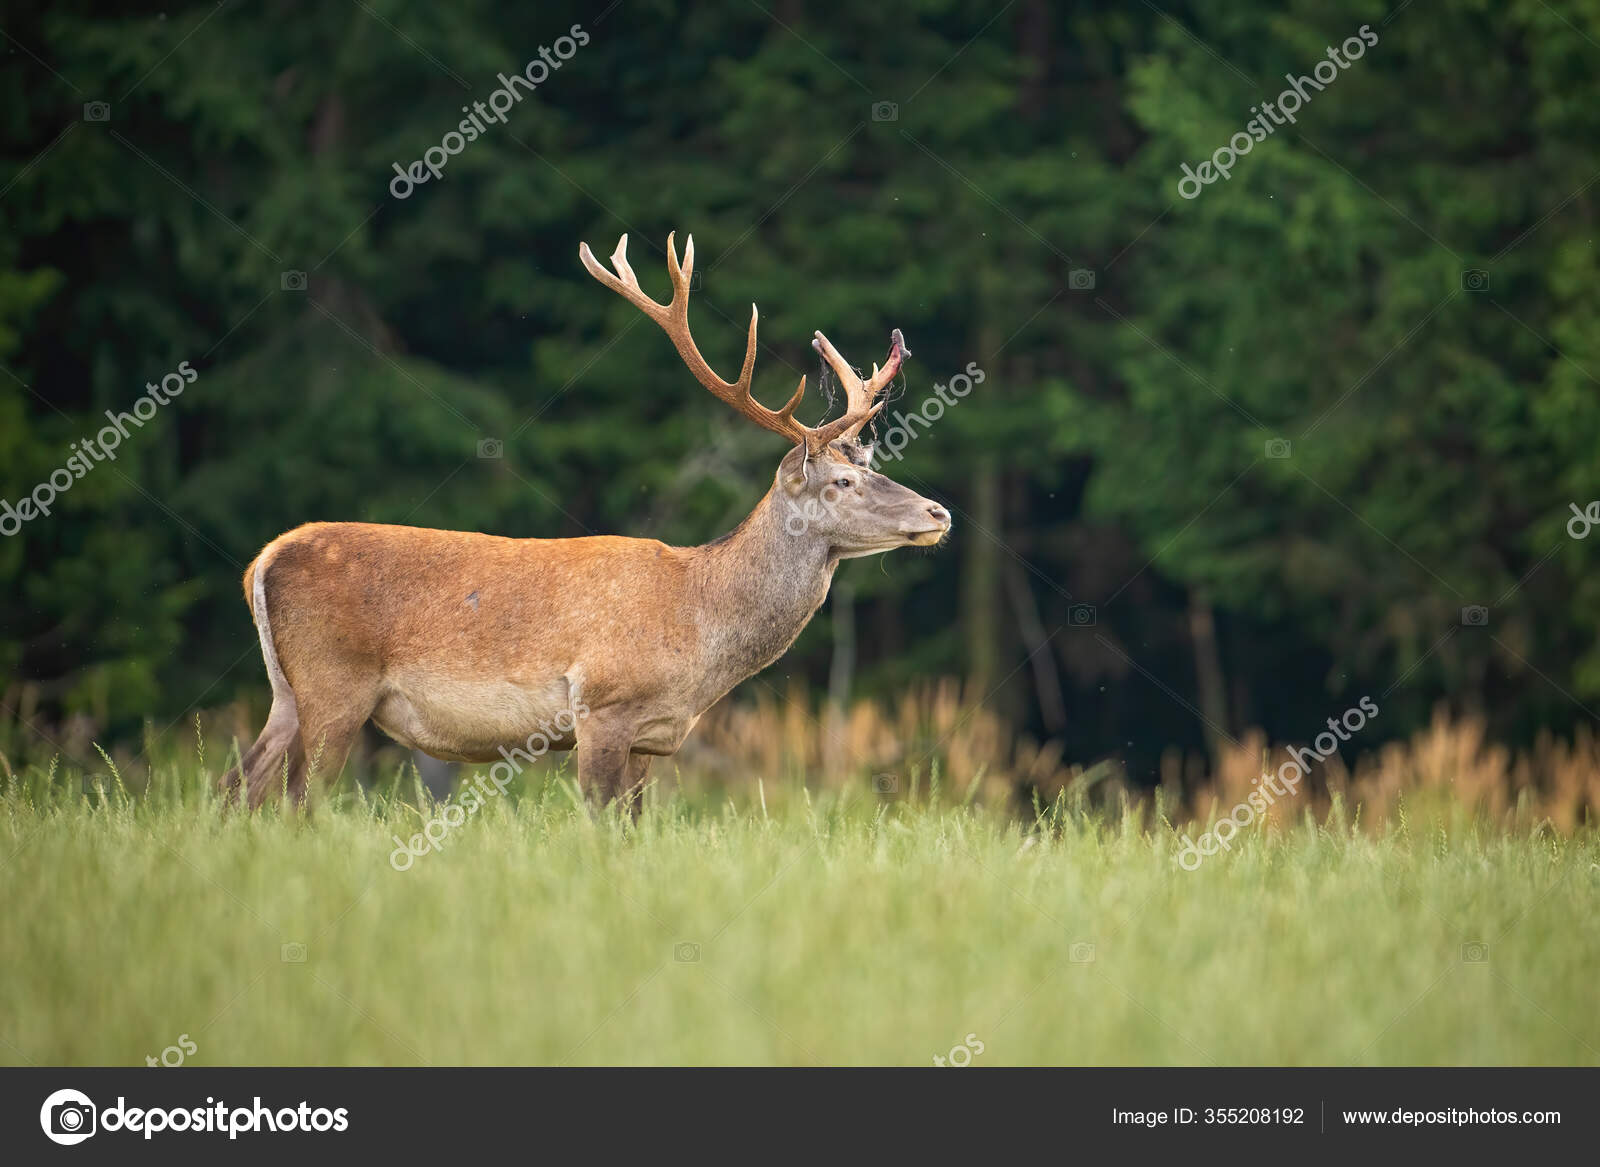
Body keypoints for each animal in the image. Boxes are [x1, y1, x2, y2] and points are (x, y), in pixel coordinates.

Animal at [220, 232, 952, 811]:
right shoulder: (603, 704)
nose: (939, 511)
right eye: (843, 482)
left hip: (288, 693)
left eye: (874, 465)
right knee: (297, 797)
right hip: (334, 681)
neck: (700, 628)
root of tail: (263, 559)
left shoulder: (650, 737)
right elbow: (600, 825)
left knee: (239, 785)